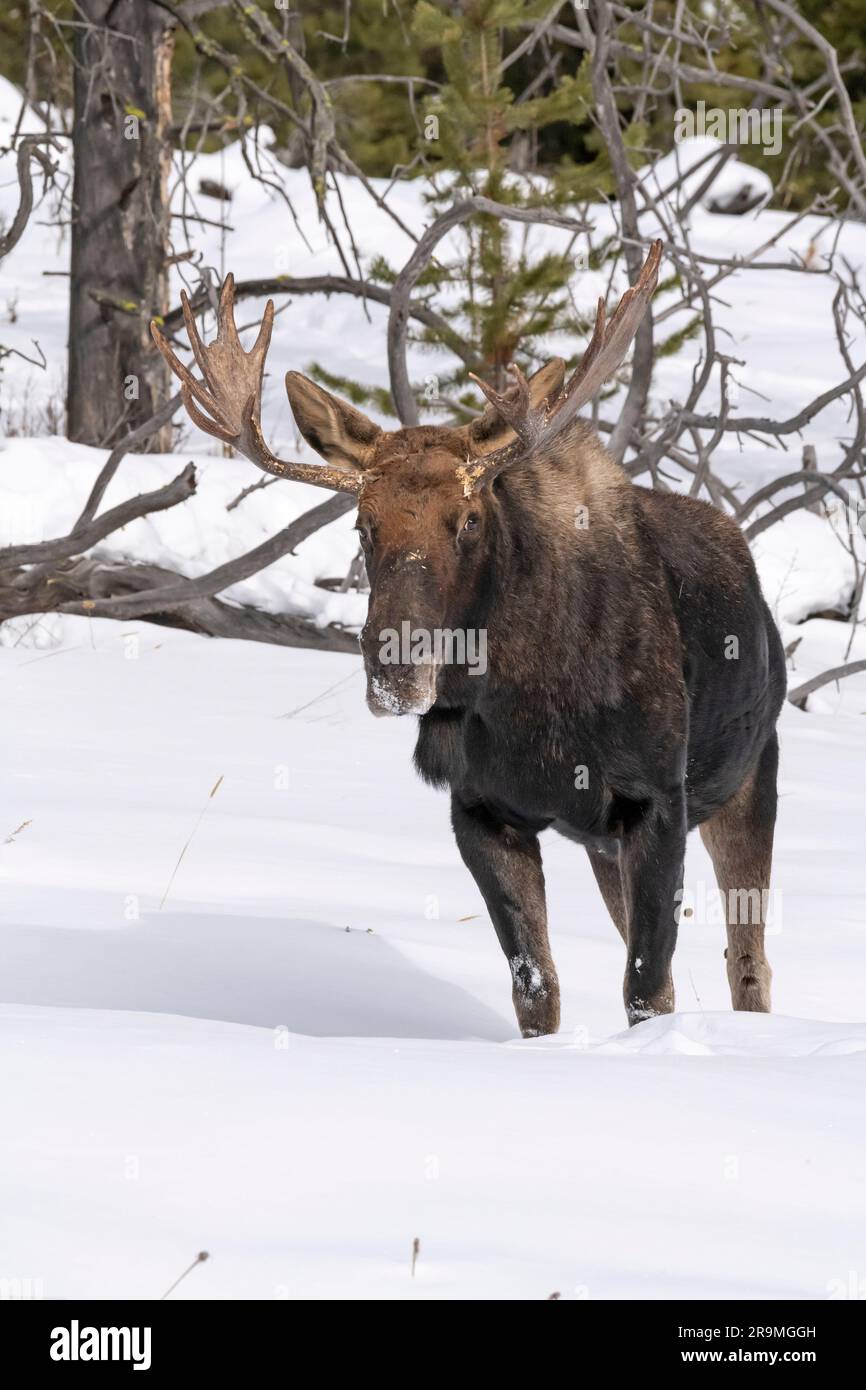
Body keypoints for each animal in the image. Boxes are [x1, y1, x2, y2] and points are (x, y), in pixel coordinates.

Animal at [152, 239, 786, 1036]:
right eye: (363, 525)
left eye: (471, 519)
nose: (395, 666)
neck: (531, 699)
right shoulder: (480, 809)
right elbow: (537, 988)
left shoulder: (654, 800)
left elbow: (646, 988)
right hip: (603, 843)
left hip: (748, 778)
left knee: (749, 967)